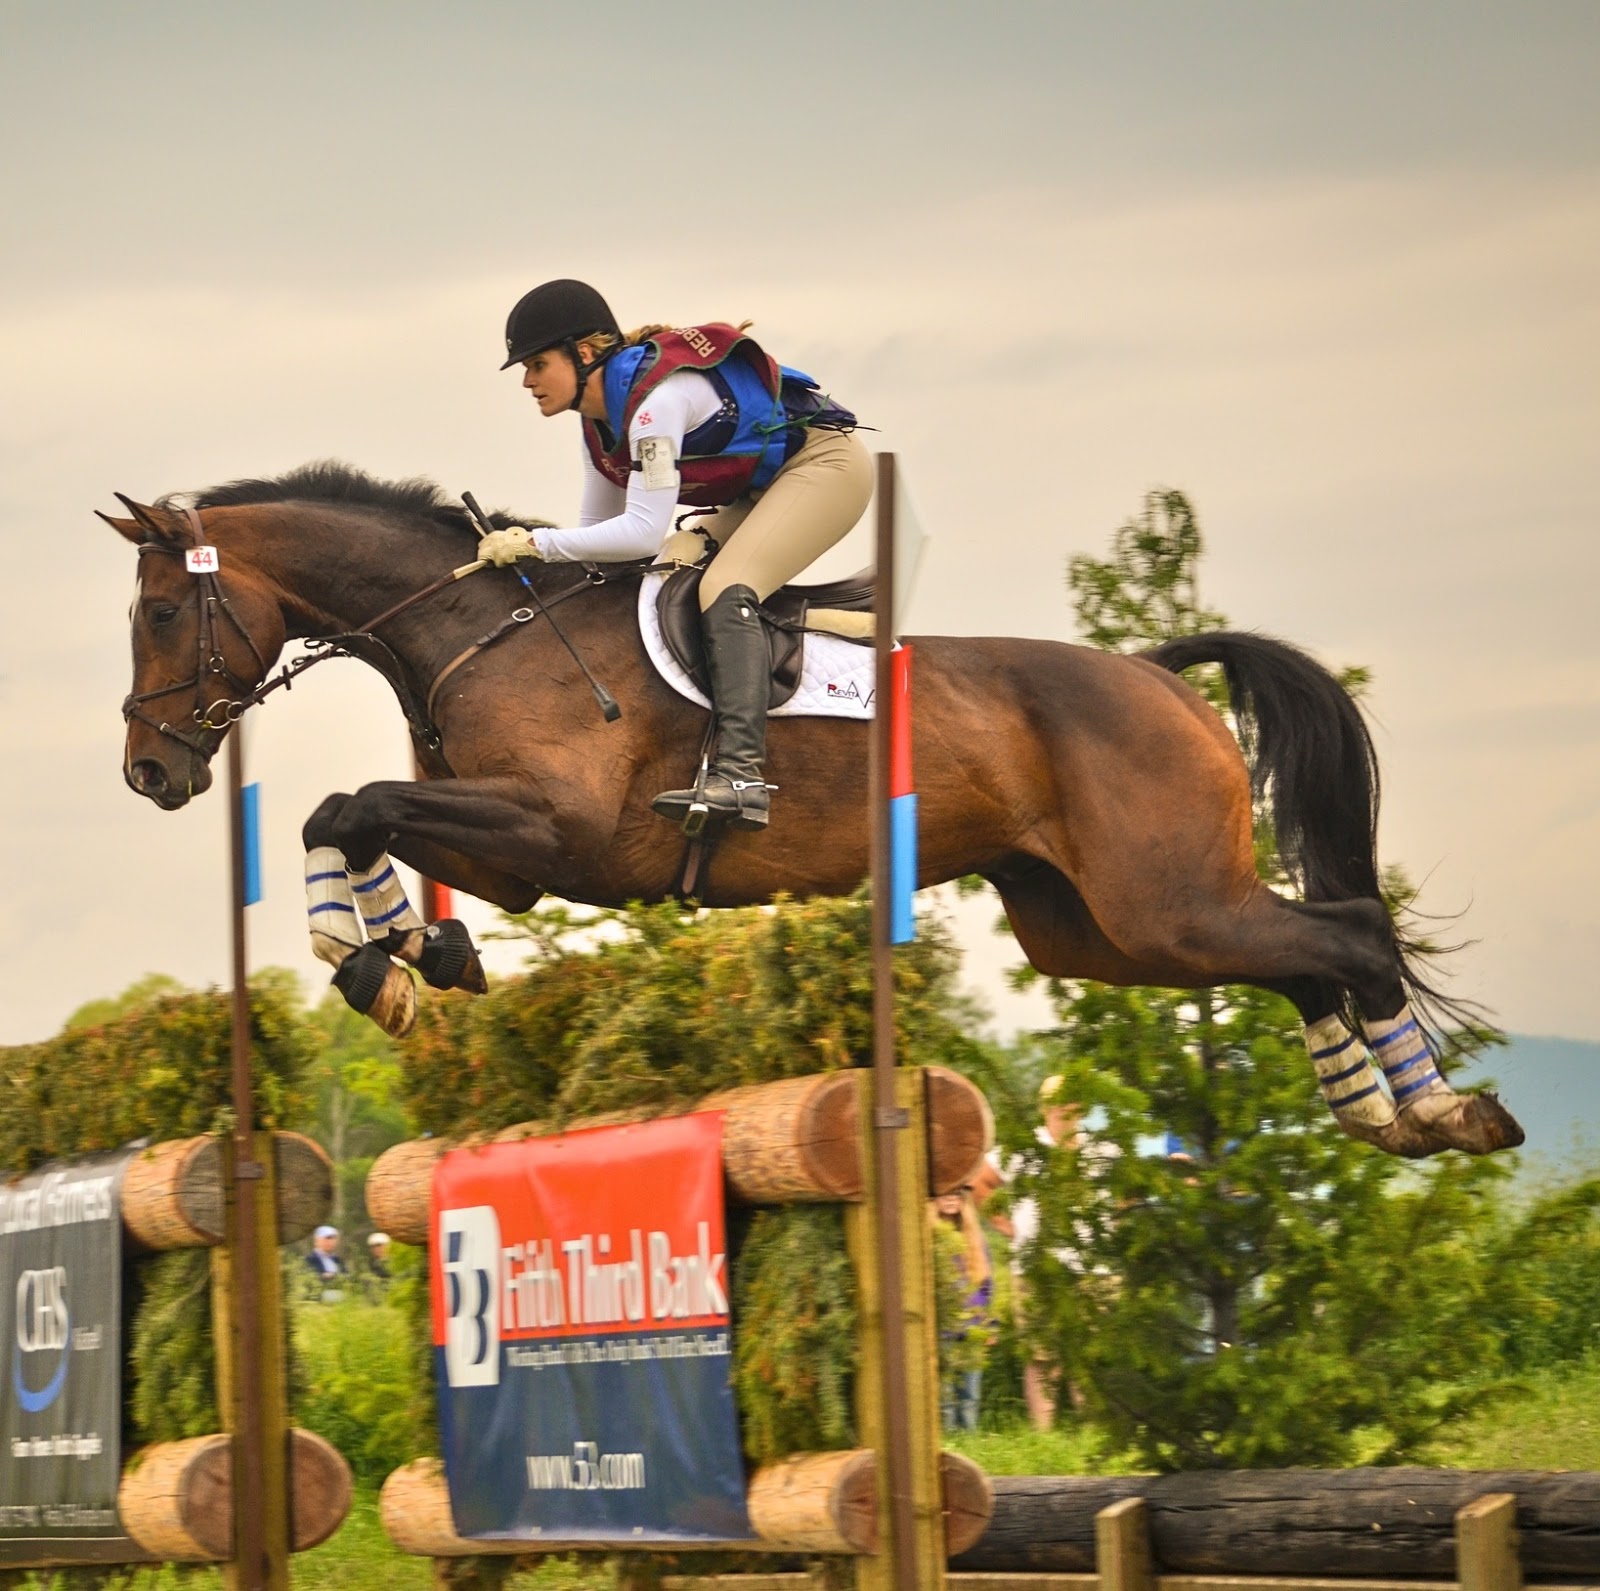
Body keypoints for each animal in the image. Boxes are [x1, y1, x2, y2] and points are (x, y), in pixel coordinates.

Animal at [101, 461, 1522, 1162]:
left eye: (163, 611)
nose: (150, 776)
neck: (474, 622)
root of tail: (1158, 675)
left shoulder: (553, 833)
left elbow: (351, 803)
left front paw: (380, 966)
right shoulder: (508, 850)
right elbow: (350, 817)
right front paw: (405, 955)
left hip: (1165, 903)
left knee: (1346, 940)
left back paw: (1440, 1114)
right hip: (1099, 930)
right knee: (1303, 961)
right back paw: (1380, 1113)